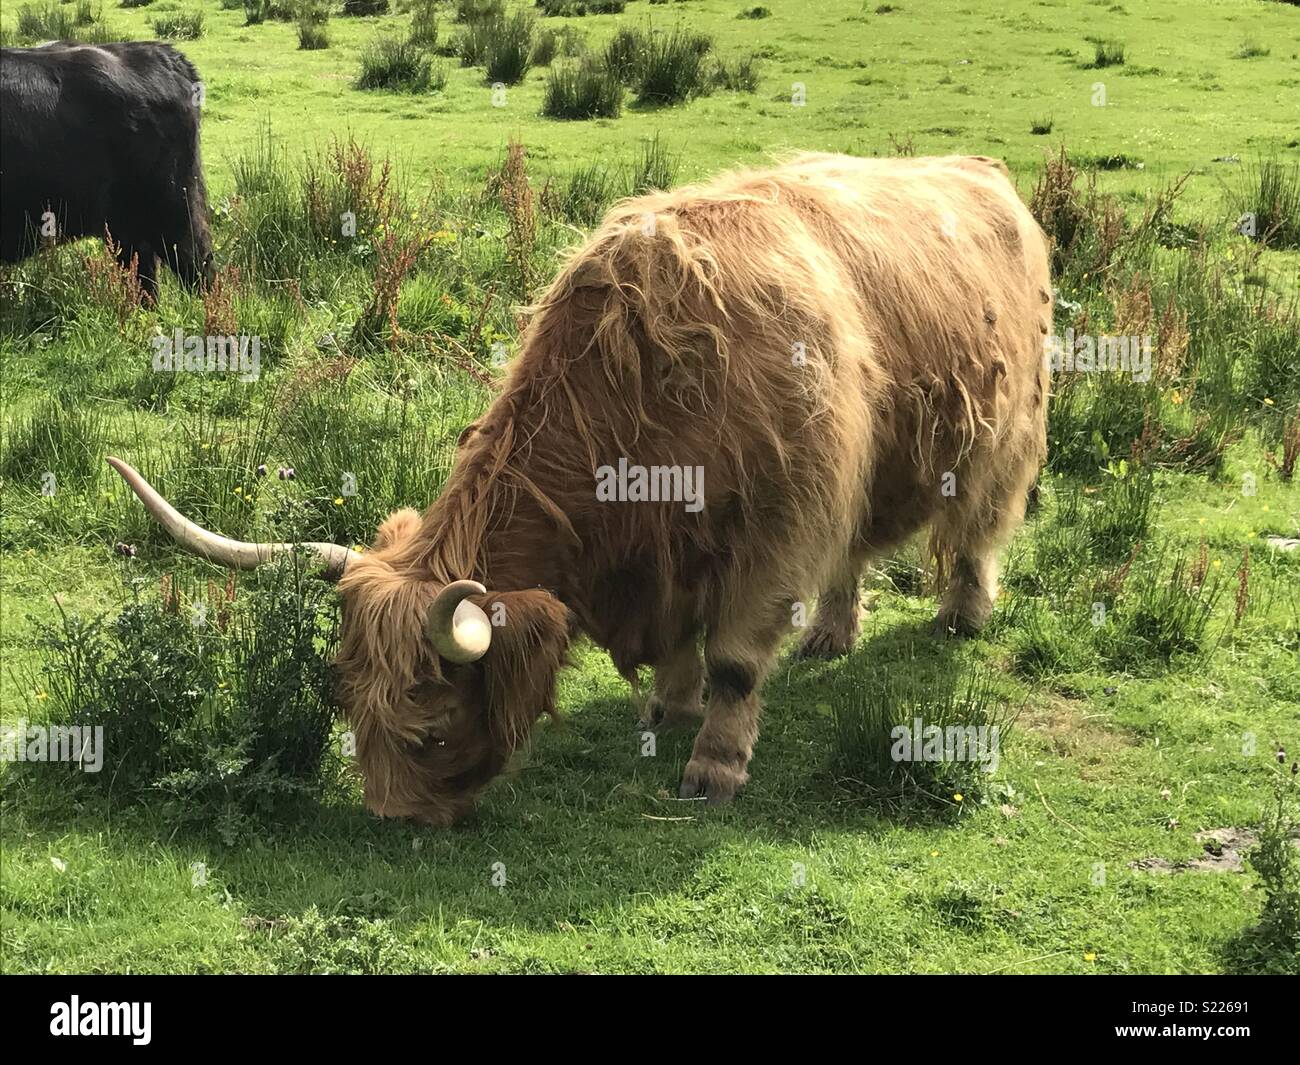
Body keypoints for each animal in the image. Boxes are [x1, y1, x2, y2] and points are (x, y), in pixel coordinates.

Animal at [108, 153, 1052, 825]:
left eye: (431, 723)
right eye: (347, 699)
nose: (392, 815)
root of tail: (980, 170)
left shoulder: (778, 528)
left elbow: (735, 659)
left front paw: (713, 765)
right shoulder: (679, 550)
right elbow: (680, 647)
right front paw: (668, 707)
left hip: (1007, 435)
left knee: (979, 531)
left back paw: (964, 613)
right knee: (854, 553)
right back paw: (831, 631)